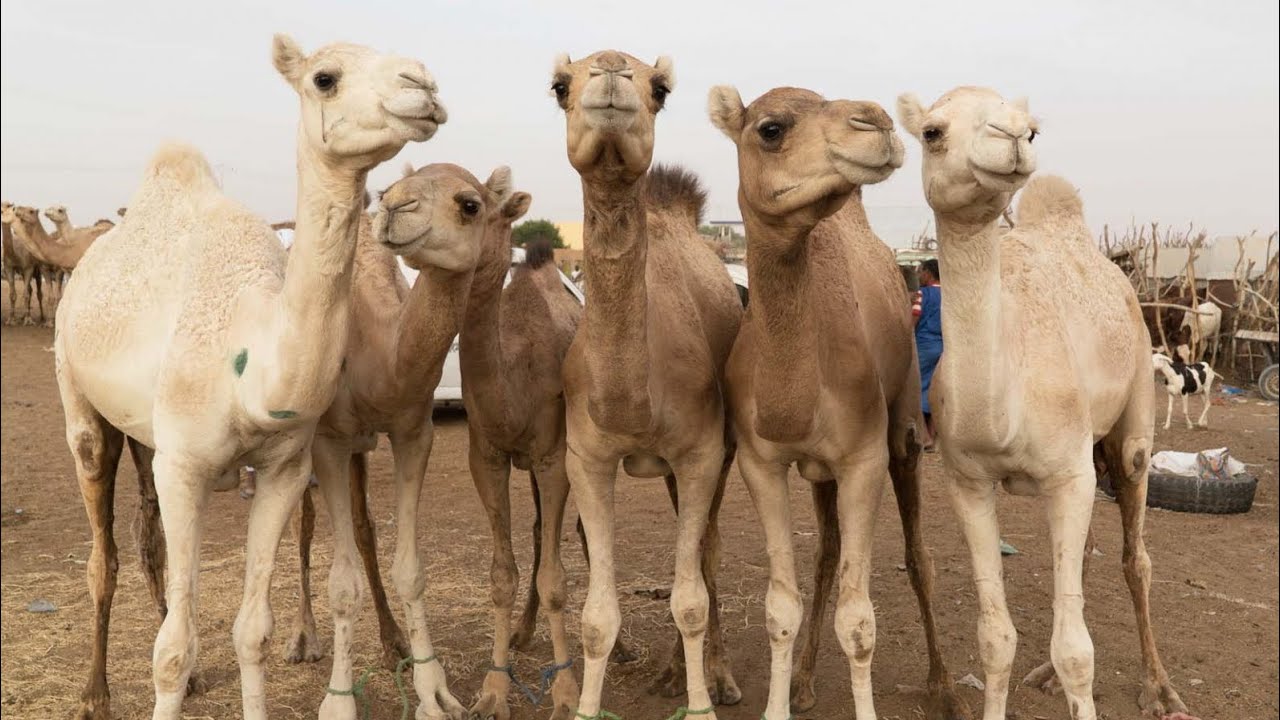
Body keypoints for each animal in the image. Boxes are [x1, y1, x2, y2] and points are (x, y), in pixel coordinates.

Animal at [52, 34, 446, 720]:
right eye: (324, 77)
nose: (421, 84)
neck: (250, 364)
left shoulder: (285, 465)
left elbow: (252, 630)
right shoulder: (184, 466)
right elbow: (171, 648)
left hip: (146, 434)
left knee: (147, 535)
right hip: (79, 396)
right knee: (102, 548)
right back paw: (94, 693)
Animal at [551, 50, 743, 719]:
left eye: (660, 88)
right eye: (559, 85)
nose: (610, 70)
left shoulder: (701, 453)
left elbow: (690, 598)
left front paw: (703, 704)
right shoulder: (586, 458)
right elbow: (596, 616)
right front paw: (585, 707)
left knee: (709, 550)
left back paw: (717, 677)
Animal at [707, 85, 968, 720]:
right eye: (770, 129)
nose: (874, 122)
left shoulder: (862, 460)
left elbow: (860, 619)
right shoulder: (761, 462)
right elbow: (781, 606)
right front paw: (780, 701)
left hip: (904, 428)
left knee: (918, 558)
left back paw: (945, 687)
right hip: (819, 471)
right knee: (825, 555)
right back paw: (803, 680)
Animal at [896, 87, 1188, 720]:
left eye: (1032, 128)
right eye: (931, 131)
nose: (1011, 137)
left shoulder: (1068, 472)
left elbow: (1079, 649)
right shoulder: (968, 482)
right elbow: (995, 637)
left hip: (1133, 407)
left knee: (1136, 556)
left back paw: (1159, 688)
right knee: (1085, 558)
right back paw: (1048, 676)